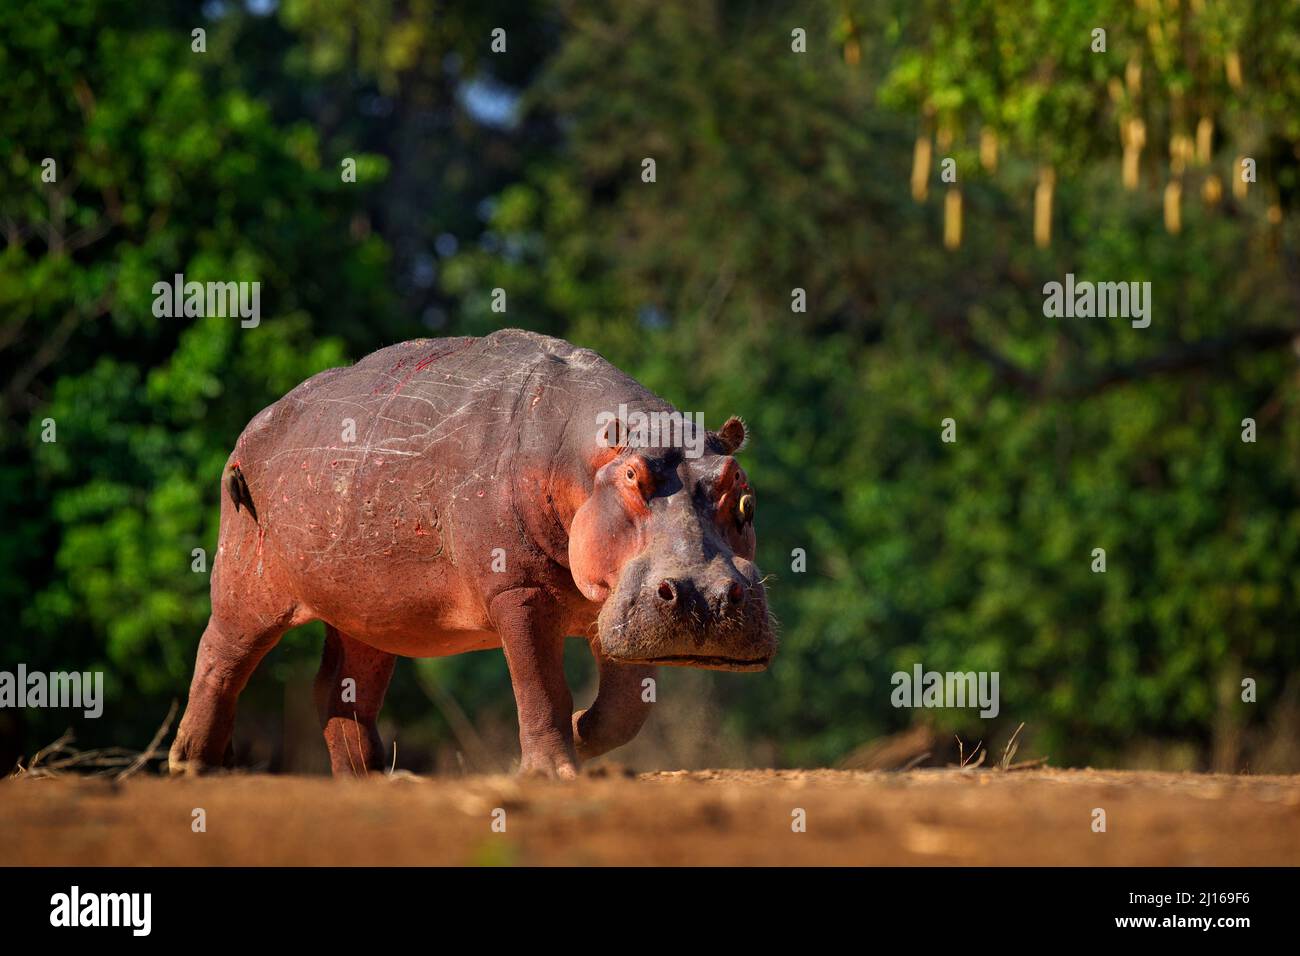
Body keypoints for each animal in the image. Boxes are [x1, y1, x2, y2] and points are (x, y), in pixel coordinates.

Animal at [169, 329, 775, 778]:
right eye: (632, 478)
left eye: (740, 488)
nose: (704, 595)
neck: (582, 456)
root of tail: (253, 426)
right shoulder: (517, 589)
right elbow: (539, 684)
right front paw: (554, 771)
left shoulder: (618, 606)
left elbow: (626, 710)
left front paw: (582, 730)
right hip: (247, 575)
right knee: (220, 655)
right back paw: (193, 765)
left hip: (368, 611)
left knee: (341, 693)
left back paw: (372, 780)